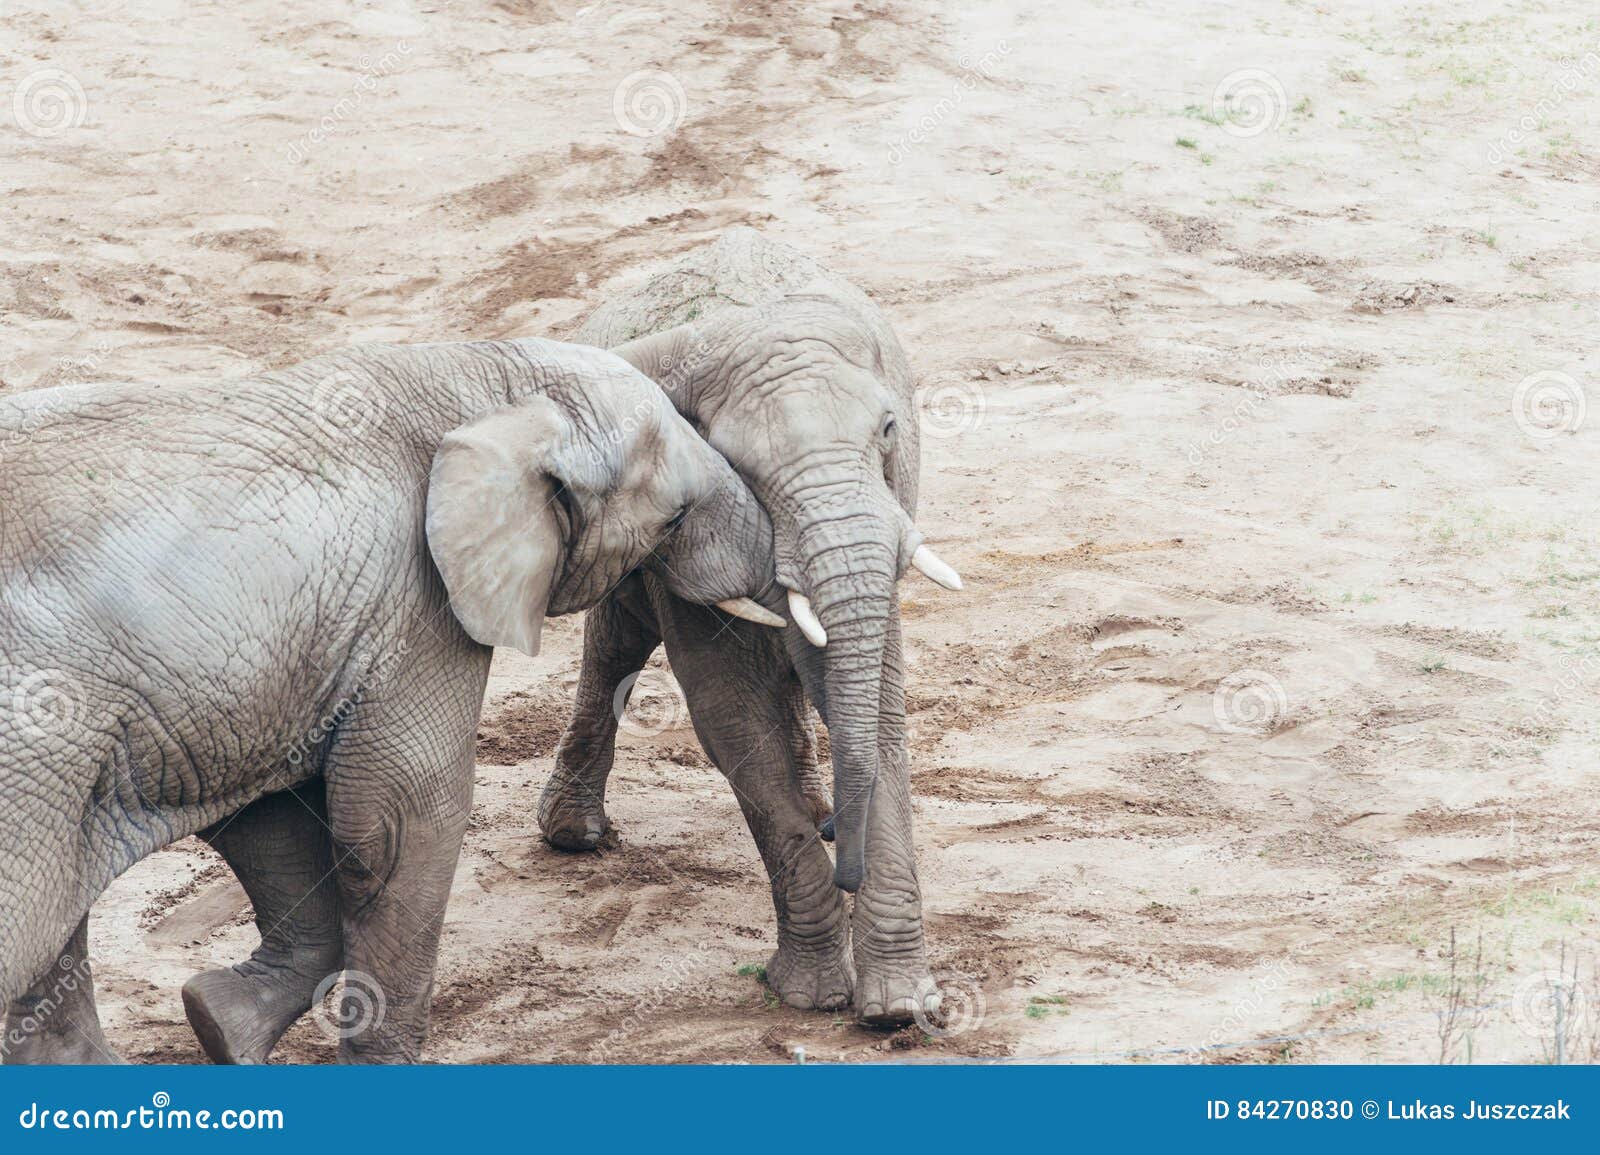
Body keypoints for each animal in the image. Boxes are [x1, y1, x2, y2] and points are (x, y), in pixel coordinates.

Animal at [0, 336, 781, 1064]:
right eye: (675, 517)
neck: (488, 375)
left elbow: (277, 825)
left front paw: (219, 1025)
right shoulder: (414, 604)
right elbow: (401, 817)